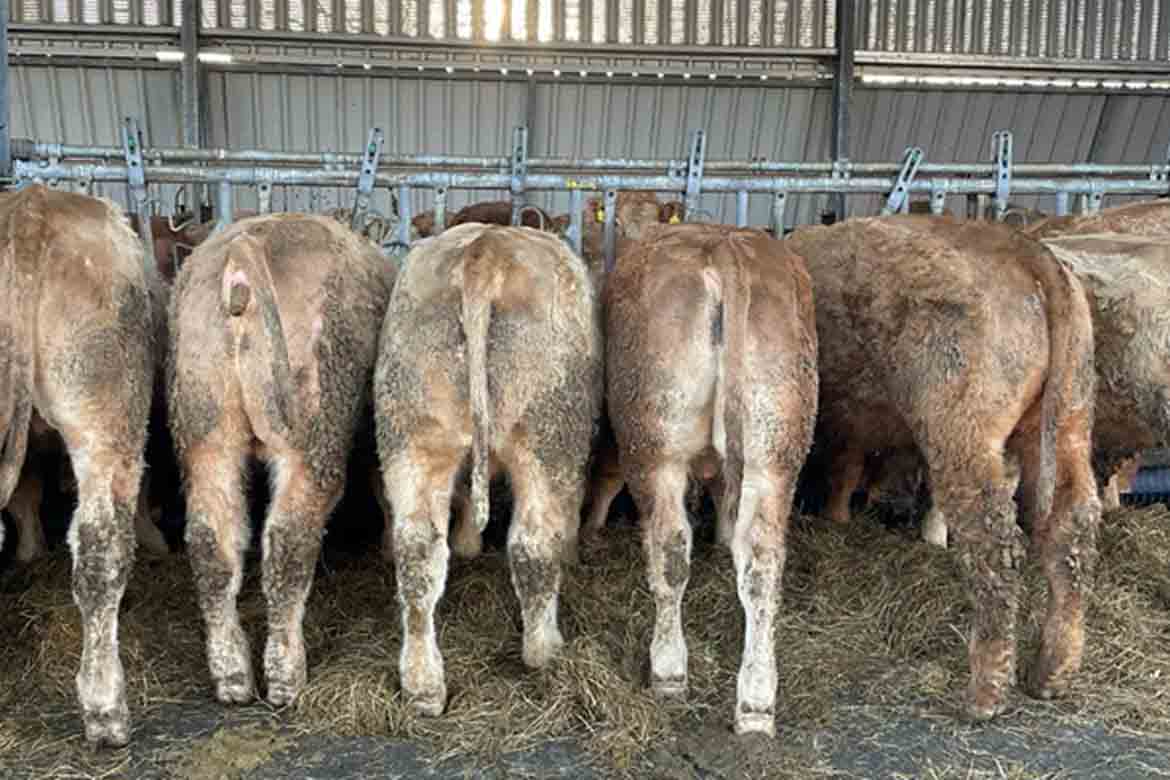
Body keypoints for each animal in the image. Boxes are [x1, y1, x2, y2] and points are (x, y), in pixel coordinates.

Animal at [167, 213, 394, 708]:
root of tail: (242, 257)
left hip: (203, 425)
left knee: (211, 542)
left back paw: (233, 677)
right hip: (312, 428)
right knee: (289, 540)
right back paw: (286, 675)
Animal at [375, 224, 603, 717]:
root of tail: (485, 249)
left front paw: (468, 544)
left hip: (412, 432)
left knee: (417, 553)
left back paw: (423, 685)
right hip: (548, 436)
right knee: (533, 545)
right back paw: (544, 650)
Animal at [605, 224, 817, 735]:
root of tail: (722, 245)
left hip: (653, 447)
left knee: (670, 549)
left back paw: (668, 671)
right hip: (775, 448)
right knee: (763, 562)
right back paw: (756, 701)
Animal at [785, 215, 1100, 721]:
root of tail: (1026, 251)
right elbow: (844, 473)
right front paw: (837, 520)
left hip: (962, 426)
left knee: (993, 542)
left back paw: (985, 695)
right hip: (1070, 417)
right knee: (1073, 524)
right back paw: (1051, 673)